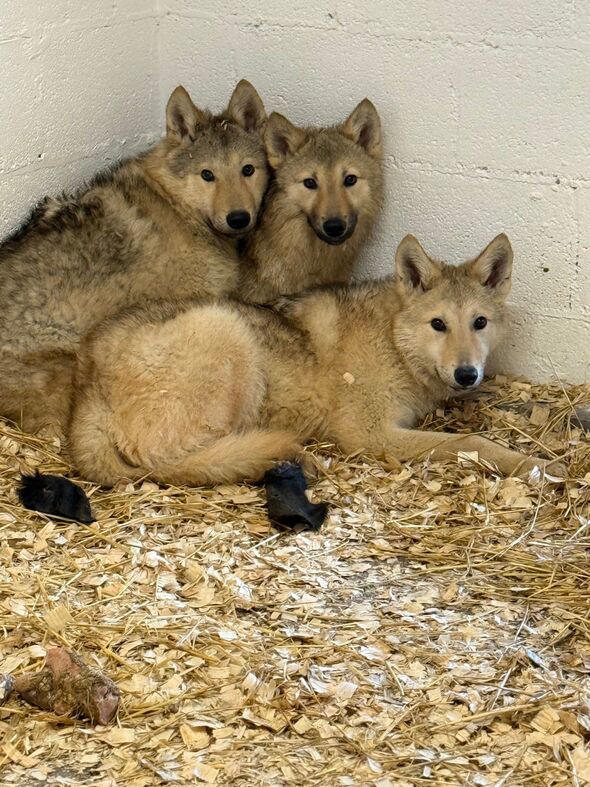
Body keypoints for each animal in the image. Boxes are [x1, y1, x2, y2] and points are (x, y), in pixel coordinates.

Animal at [65, 232, 566, 488]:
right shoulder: (370, 435)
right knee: (168, 464)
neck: (393, 341)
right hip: (229, 332)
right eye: (438, 324)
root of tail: (87, 375)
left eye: (479, 322)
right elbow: (473, 443)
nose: (467, 374)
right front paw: (537, 464)